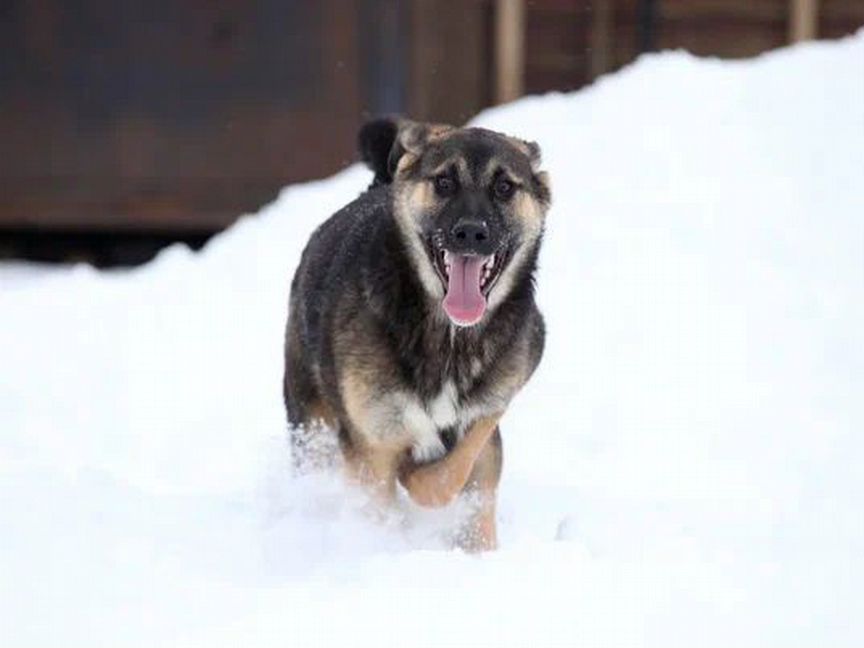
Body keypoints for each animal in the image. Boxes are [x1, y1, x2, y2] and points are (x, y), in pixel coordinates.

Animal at [286, 117, 552, 552]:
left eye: (504, 187)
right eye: (444, 182)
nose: (471, 233)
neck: (449, 336)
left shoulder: (500, 395)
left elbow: (459, 461)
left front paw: (423, 479)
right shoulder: (371, 443)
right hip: (310, 420)